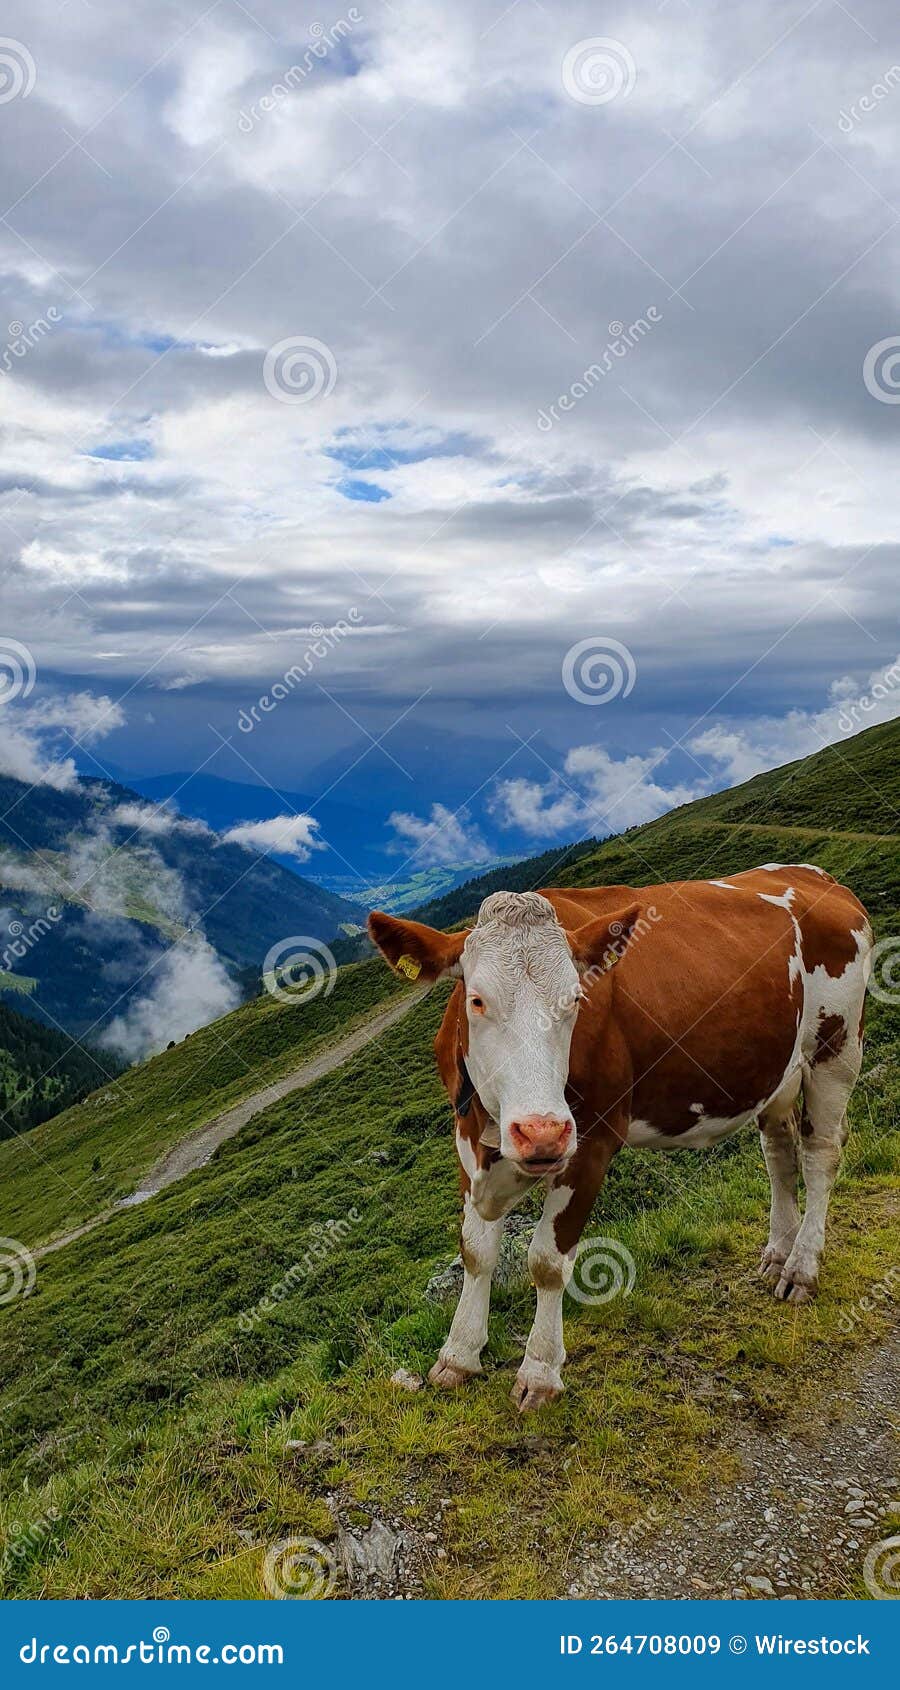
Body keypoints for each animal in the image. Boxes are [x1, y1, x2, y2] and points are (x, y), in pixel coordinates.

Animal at [368, 865, 872, 1411]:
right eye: (476, 1000)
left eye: (575, 1000)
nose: (543, 1131)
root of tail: (813, 875)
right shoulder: (467, 1141)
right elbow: (475, 1250)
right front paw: (458, 1355)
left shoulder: (590, 1141)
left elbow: (547, 1260)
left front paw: (539, 1371)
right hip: (776, 1073)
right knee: (779, 1154)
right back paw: (778, 1251)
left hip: (836, 1050)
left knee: (820, 1156)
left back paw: (801, 1269)